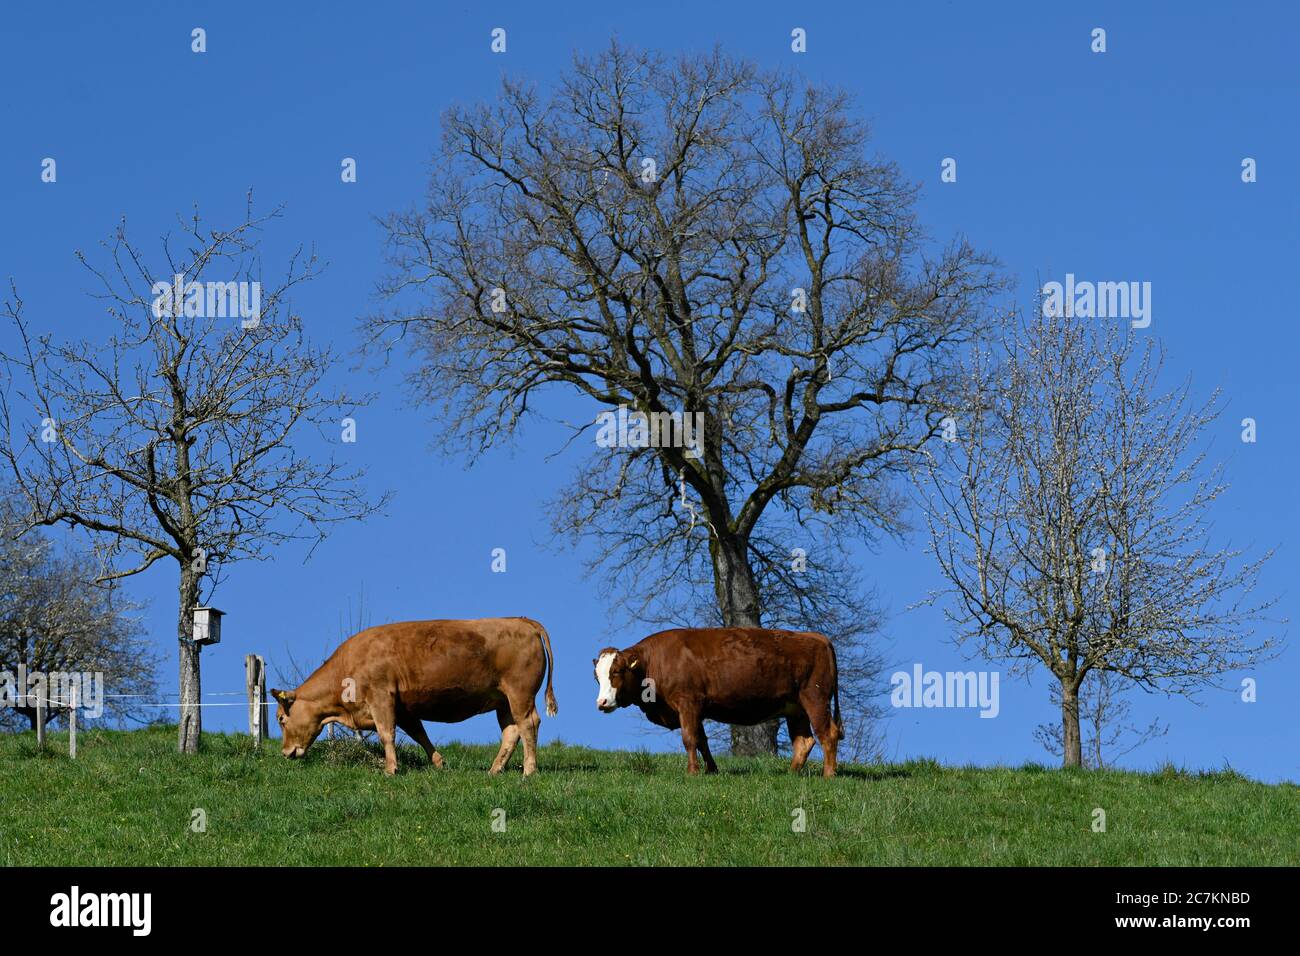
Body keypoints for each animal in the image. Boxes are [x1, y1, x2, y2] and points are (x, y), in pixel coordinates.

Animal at [271, 617, 557, 776]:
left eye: (281, 719)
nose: (285, 753)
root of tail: (521, 620)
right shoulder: (404, 709)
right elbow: (420, 735)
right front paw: (439, 763)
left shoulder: (381, 697)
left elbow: (387, 734)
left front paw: (390, 769)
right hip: (504, 701)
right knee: (511, 731)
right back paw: (494, 770)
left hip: (520, 693)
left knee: (528, 724)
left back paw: (529, 770)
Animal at [593, 627, 842, 777]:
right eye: (597, 677)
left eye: (616, 672)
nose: (602, 702)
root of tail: (816, 636)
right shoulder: (695, 709)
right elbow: (701, 740)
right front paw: (711, 770)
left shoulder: (688, 702)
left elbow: (689, 739)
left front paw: (692, 772)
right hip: (795, 709)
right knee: (803, 742)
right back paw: (791, 773)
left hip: (815, 699)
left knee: (827, 734)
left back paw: (828, 774)